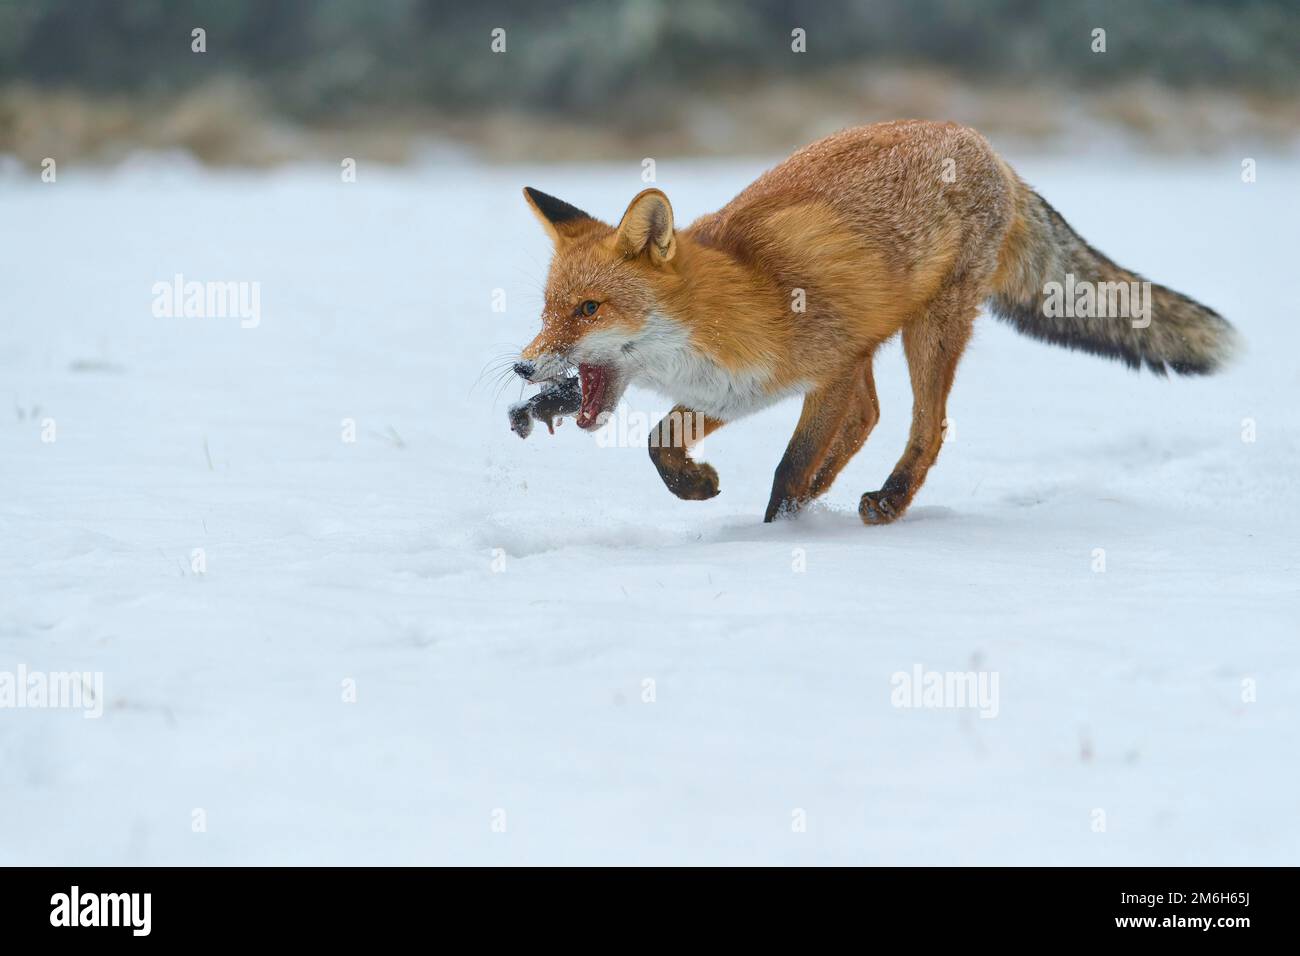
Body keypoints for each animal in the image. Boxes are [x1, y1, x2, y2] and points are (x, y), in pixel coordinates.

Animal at [513, 120, 1236, 524]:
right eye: (547, 309)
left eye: (588, 309)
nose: (522, 367)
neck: (730, 304)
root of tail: (991, 150)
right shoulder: (739, 390)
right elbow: (659, 441)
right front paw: (697, 485)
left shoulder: (824, 372)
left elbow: (786, 472)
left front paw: (781, 534)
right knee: (872, 414)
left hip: (931, 329)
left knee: (925, 426)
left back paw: (889, 500)